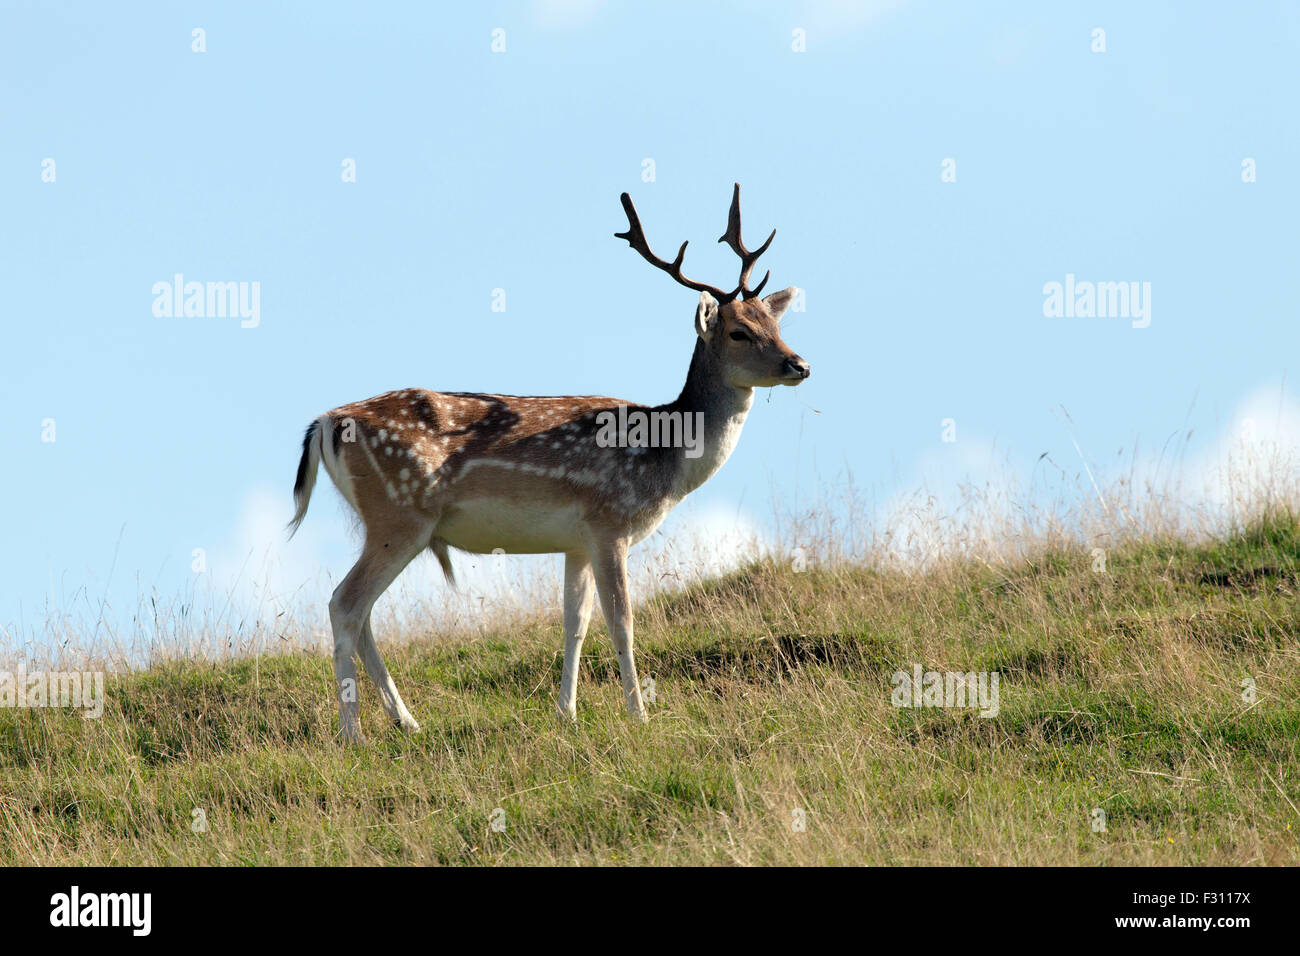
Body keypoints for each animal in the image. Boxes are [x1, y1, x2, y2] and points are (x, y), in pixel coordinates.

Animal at [287, 184, 811, 742]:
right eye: (738, 332)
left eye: (776, 323)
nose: (800, 364)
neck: (665, 456)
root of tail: (324, 423)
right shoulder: (609, 521)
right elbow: (621, 621)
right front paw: (638, 715)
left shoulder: (576, 541)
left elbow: (574, 622)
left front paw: (568, 713)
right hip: (400, 513)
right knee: (345, 603)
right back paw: (354, 733)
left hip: (386, 521)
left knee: (361, 612)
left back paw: (407, 721)